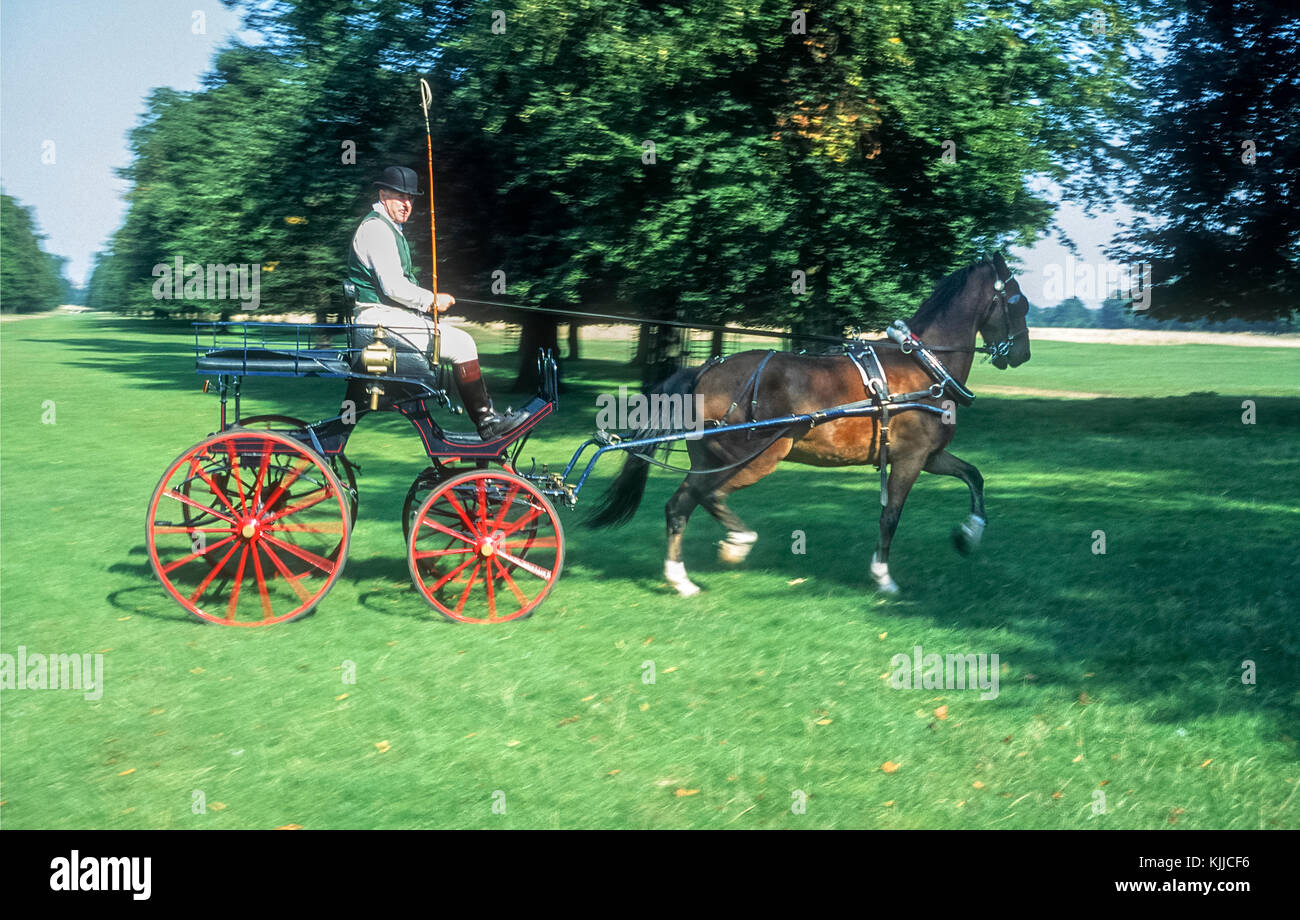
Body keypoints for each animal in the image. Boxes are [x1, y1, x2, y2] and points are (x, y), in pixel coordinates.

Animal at [587, 253, 1031, 596]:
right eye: (1019, 302)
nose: (1022, 354)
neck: (924, 367)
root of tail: (704, 372)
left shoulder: (929, 455)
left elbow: (974, 476)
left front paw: (968, 534)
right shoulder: (910, 459)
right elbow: (891, 516)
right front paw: (883, 577)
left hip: (716, 458)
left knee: (694, 501)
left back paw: (708, 558)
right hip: (751, 457)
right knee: (692, 500)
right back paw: (700, 568)